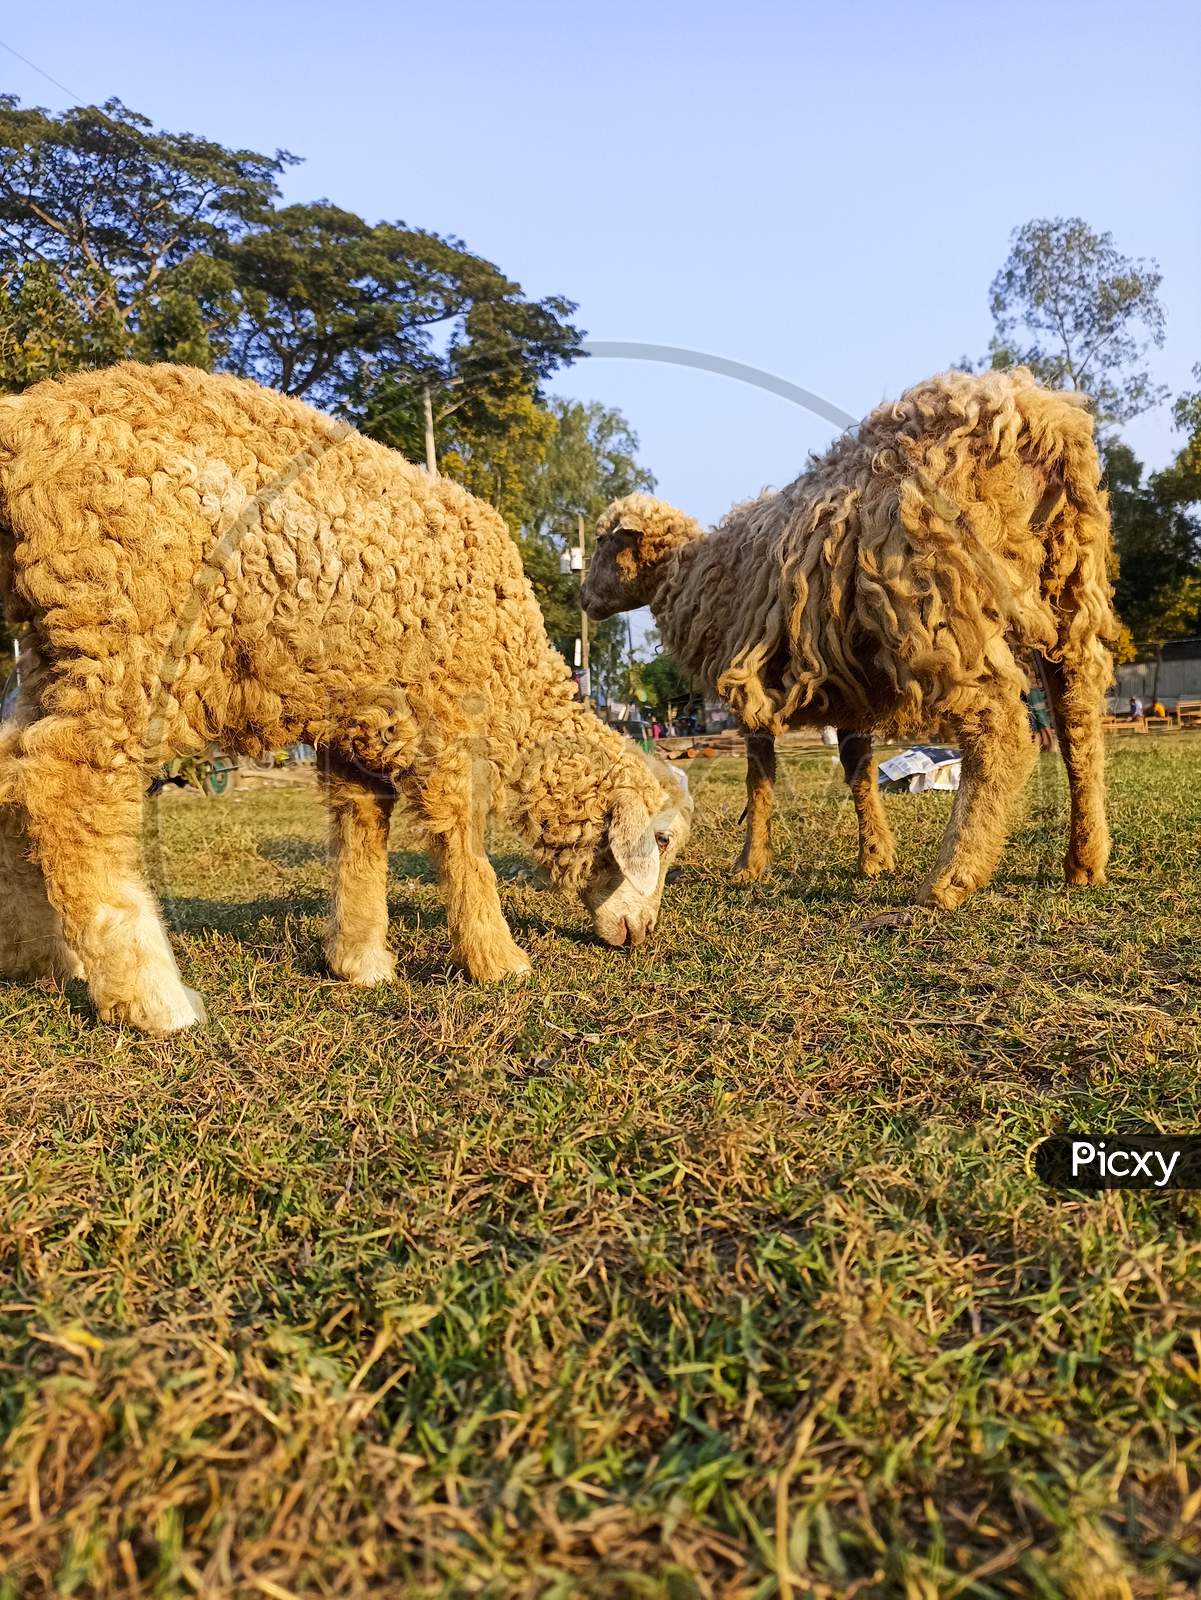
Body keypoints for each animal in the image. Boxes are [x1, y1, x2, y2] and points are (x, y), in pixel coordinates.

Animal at [0, 361, 692, 1034]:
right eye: (660, 841)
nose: (639, 935)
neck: (511, 675)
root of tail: (28, 424)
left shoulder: (362, 719)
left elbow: (362, 829)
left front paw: (360, 962)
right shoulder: (444, 718)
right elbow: (463, 840)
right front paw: (499, 961)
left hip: (56, 641)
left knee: (14, 772)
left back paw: (42, 958)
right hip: (133, 627)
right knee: (66, 786)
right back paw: (154, 1000)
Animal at [582, 368, 1115, 909]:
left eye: (602, 541)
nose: (583, 599)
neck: (695, 571)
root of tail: (1037, 420)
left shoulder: (750, 684)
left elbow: (759, 778)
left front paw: (749, 865)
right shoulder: (848, 682)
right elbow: (858, 769)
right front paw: (874, 857)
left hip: (939, 601)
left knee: (999, 732)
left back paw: (951, 878)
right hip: (1071, 579)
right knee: (1078, 717)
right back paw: (1085, 859)